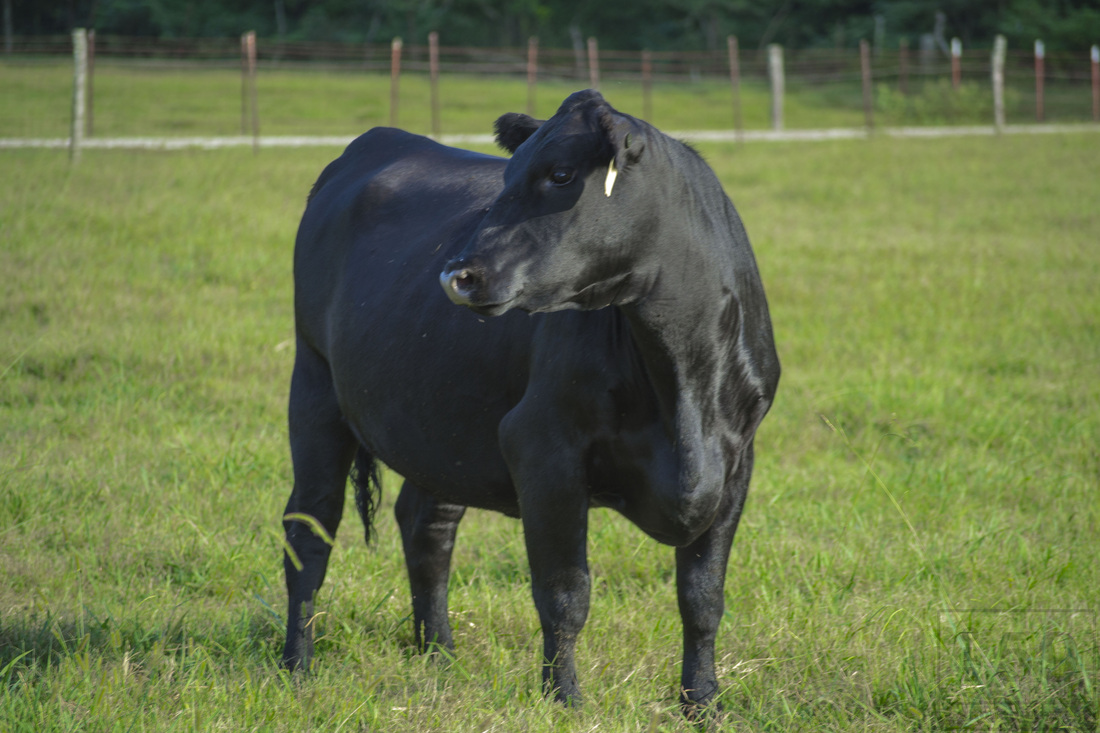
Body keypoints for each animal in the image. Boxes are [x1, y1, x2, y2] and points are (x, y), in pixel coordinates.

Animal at [281, 89, 780, 713]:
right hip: (314, 384)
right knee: (309, 528)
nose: (455, 276)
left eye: (561, 174)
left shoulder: (737, 462)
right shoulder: (542, 448)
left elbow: (703, 596)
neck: (686, 384)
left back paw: (439, 654)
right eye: (508, 174)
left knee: (426, 526)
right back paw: (297, 665)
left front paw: (703, 701)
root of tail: (379, 139)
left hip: (443, 424)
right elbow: (564, 592)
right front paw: (564, 699)